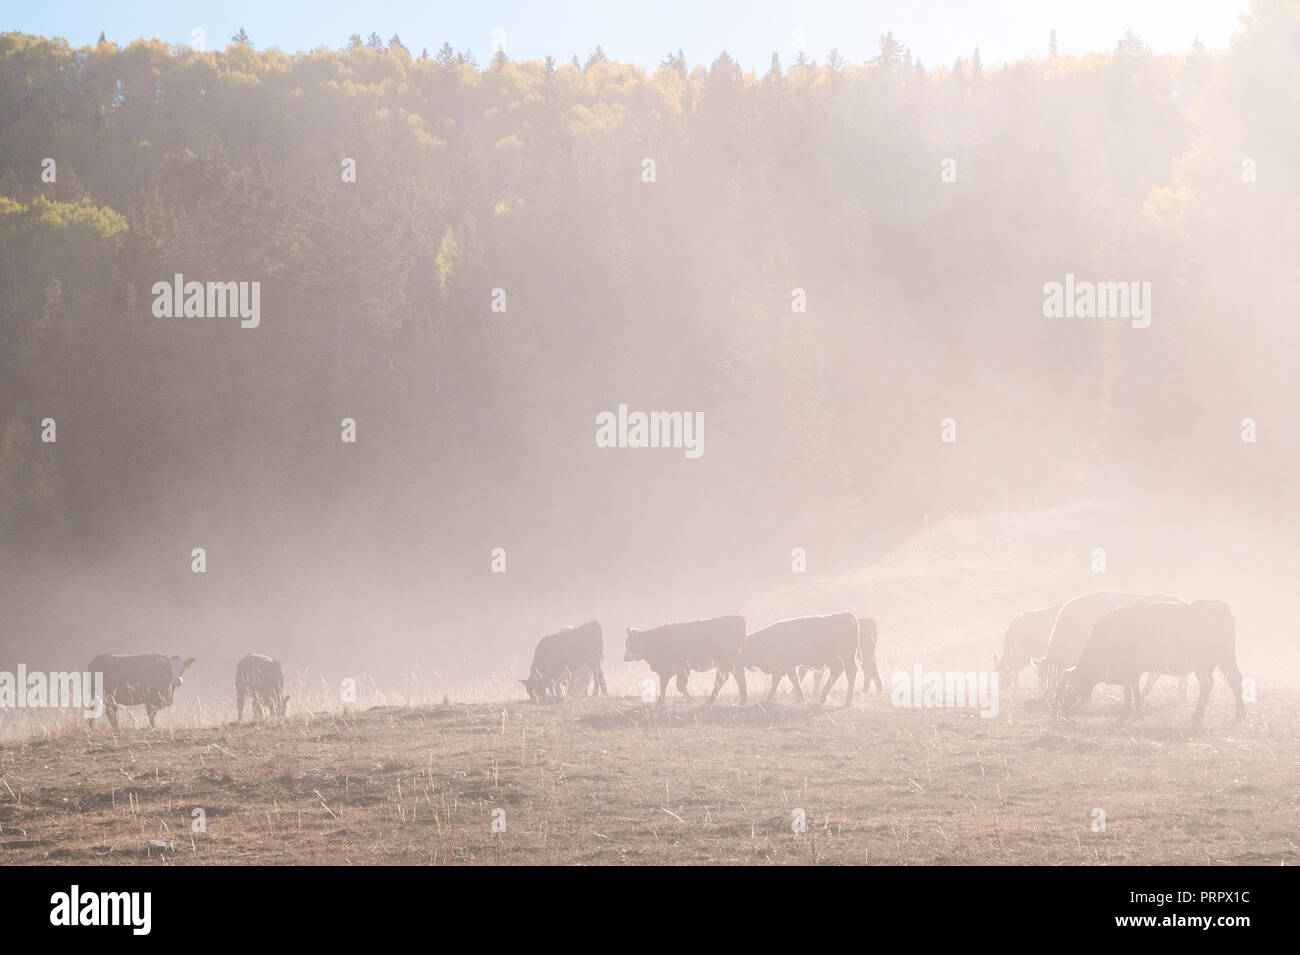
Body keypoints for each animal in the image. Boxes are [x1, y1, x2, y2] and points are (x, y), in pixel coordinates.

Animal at [1059, 600, 1245, 727]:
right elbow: (1134, 691)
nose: (1062, 714)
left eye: (1070, 688)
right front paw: (1137, 713)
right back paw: (1233, 715)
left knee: (1218, 683)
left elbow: (1129, 693)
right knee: (1225, 682)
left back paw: (1207, 716)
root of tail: (1219, 606)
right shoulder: (1133, 673)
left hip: (1212, 662)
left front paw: (1125, 715)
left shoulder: (1131, 671)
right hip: (1216, 663)